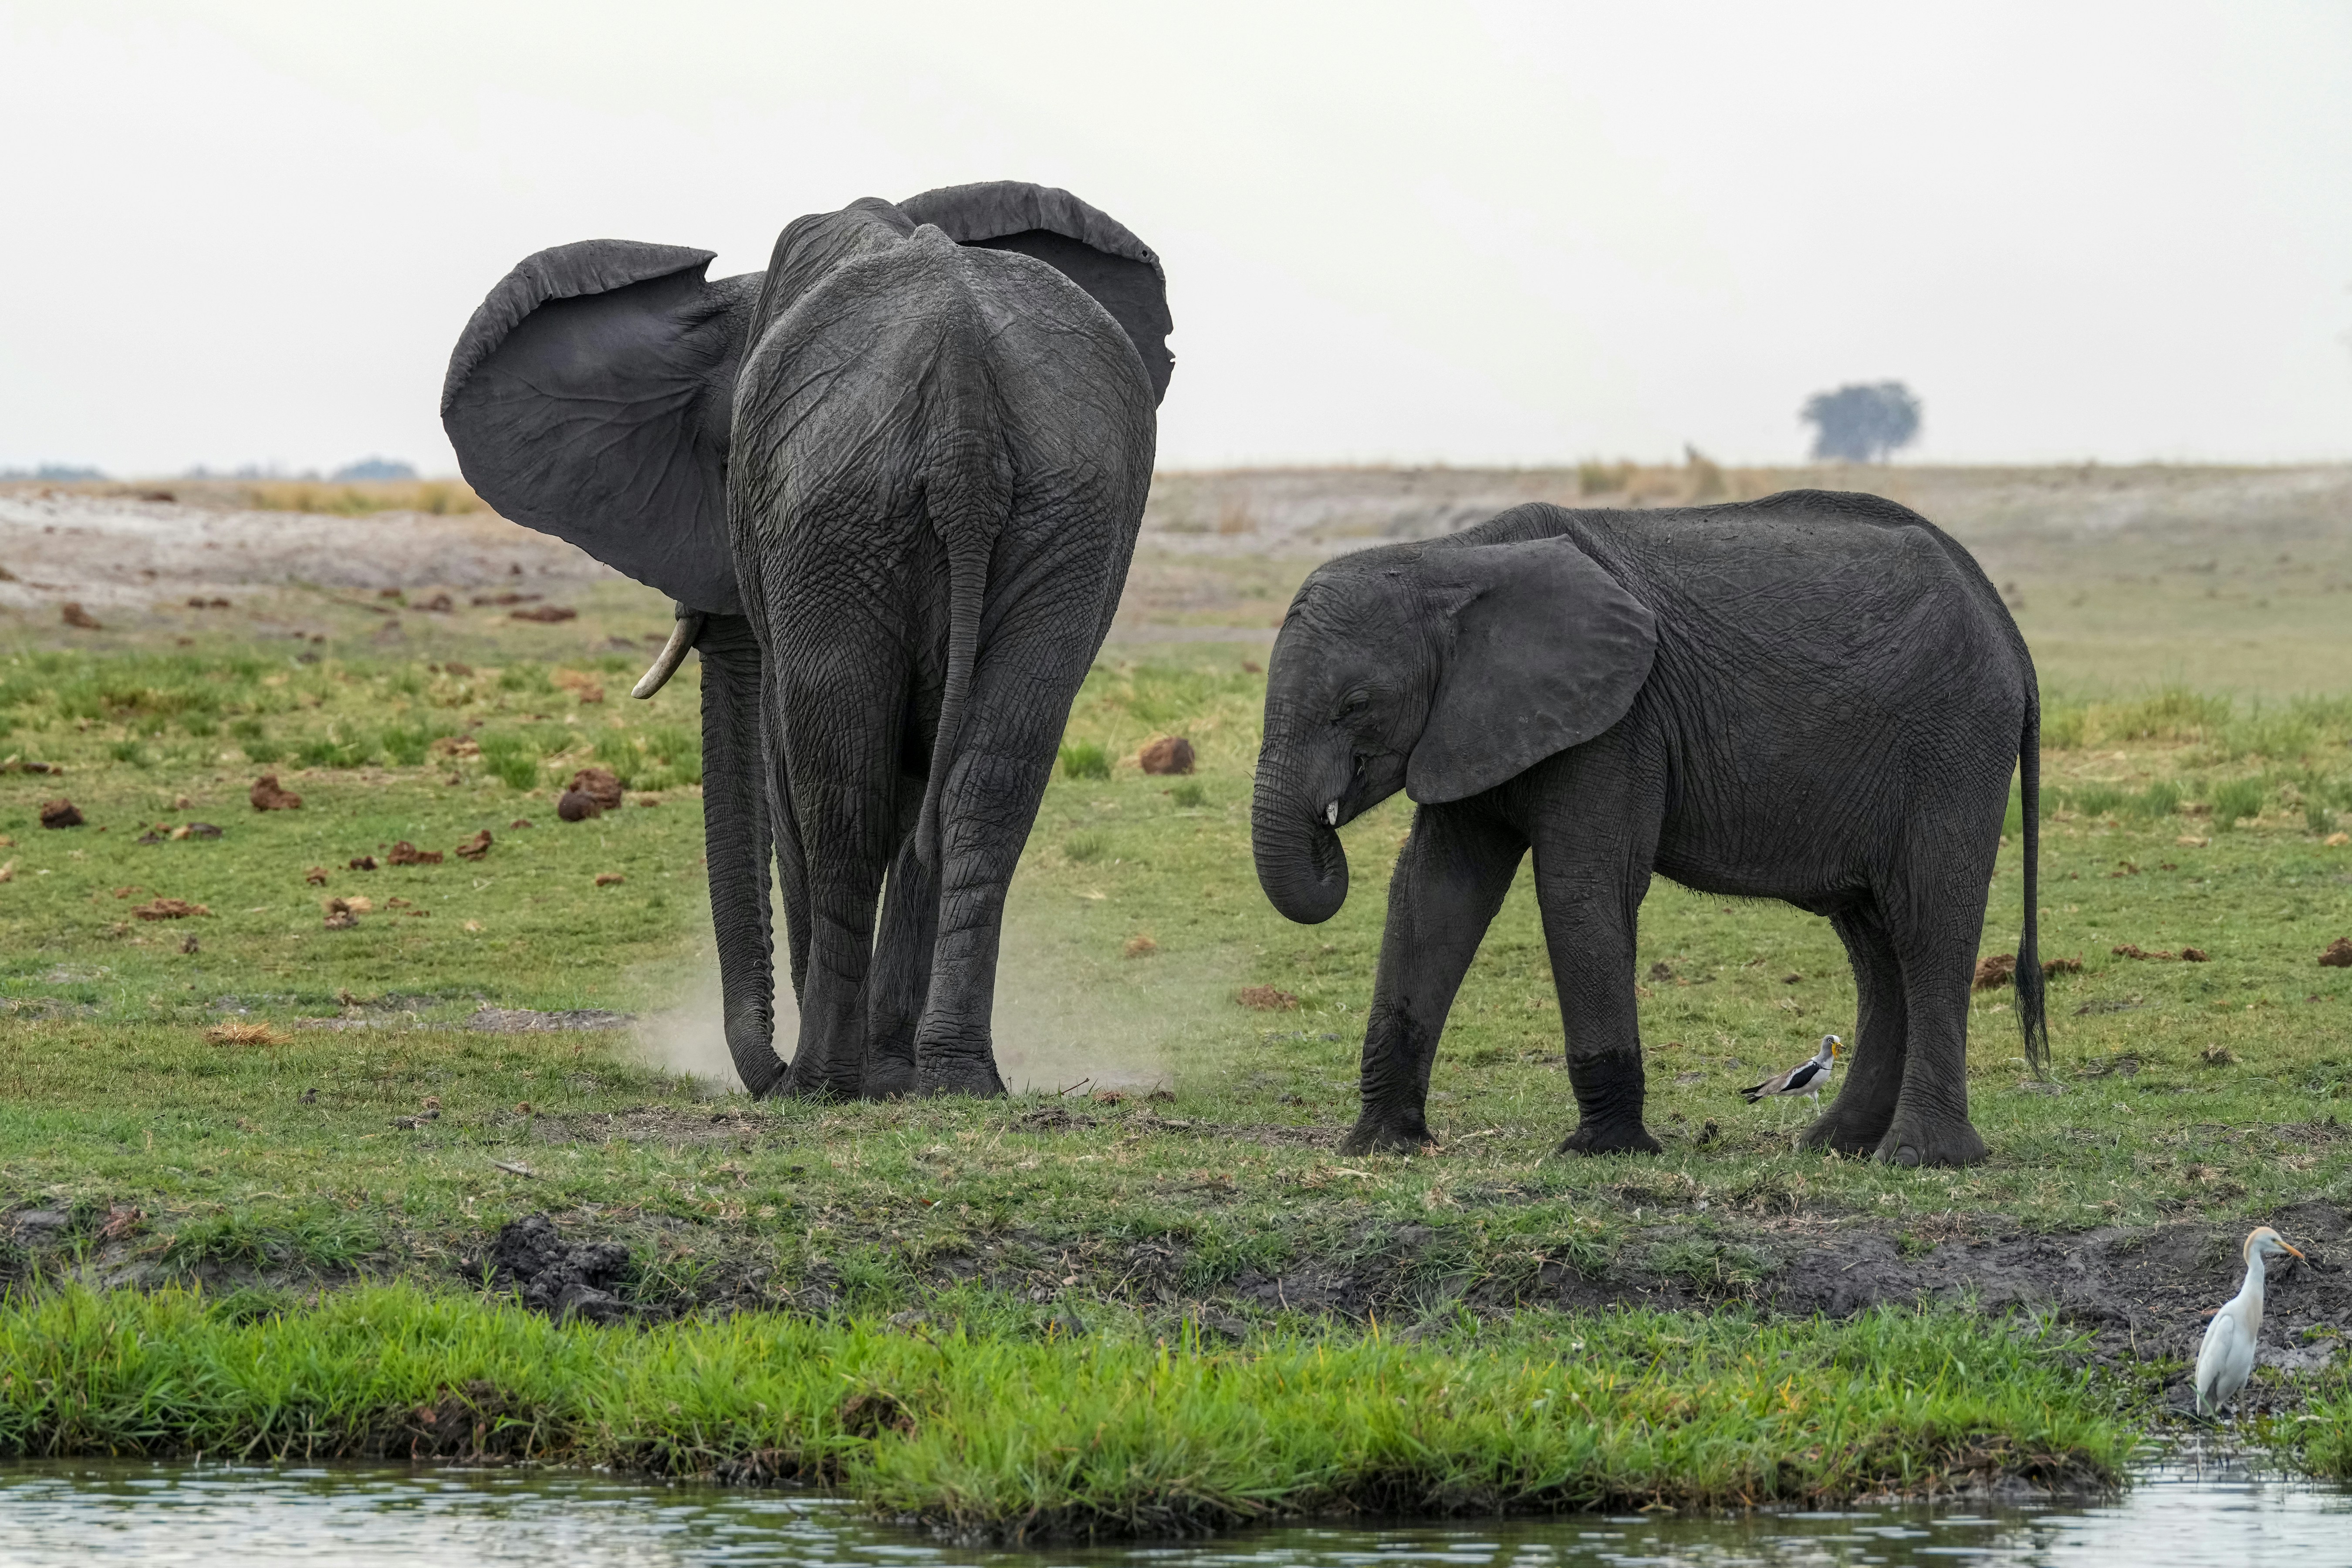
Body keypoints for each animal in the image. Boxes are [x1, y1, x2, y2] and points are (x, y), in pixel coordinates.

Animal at [441, 182, 1173, 1098]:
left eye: (727, 463)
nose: (767, 1068)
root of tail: (962, 395)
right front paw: (893, 1078)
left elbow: (796, 775)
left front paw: (862, 1077)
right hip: (1069, 508)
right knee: (990, 778)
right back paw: (958, 1080)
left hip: (841, 505)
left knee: (842, 785)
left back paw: (820, 1083)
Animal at [1249, 492, 2044, 1168]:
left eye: (1355, 704)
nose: (1327, 829)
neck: (1448, 559)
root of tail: (2002, 619)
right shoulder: (1468, 723)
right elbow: (1434, 895)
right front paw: (1380, 1146)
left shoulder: (1619, 721)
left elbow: (1580, 889)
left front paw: (1604, 1151)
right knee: (1875, 944)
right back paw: (1835, 1146)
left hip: (1956, 738)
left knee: (1926, 922)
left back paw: (1920, 1157)